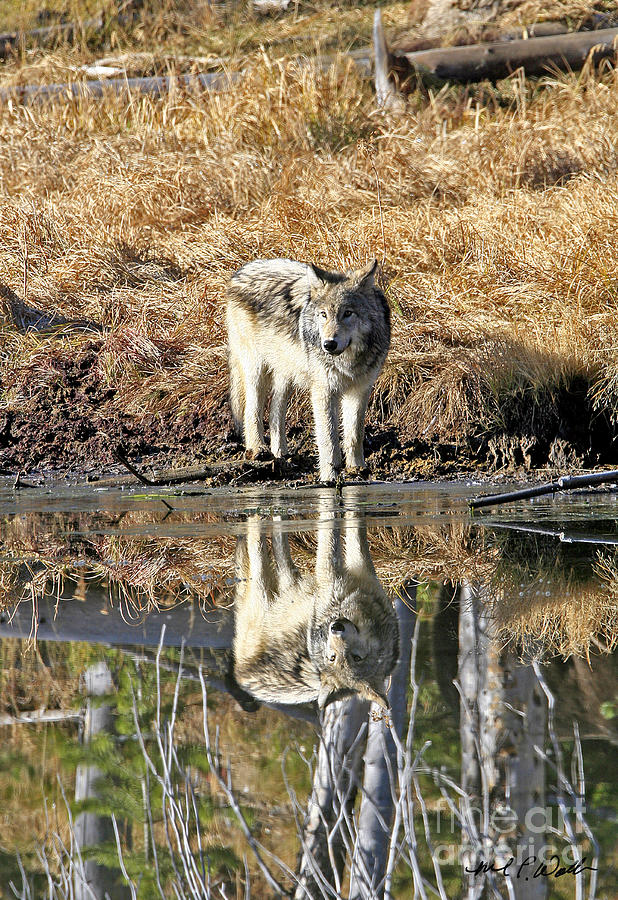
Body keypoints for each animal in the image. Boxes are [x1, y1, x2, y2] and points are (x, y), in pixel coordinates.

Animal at [226, 258, 390, 482]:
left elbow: (355, 435)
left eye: (347, 313)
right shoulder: (323, 391)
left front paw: (357, 469)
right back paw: (258, 449)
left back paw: (281, 454)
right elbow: (329, 438)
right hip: (257, 370)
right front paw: (329, 476)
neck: (348, 361)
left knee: (275, 412)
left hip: (285, 375)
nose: (328, 344)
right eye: (323, 315)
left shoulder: (360, 390)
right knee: (251, 411)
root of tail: (241, 271)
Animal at [233, 505, 399, 709]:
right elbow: (343, 523)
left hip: (277, 591)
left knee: (267, 547)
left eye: (356, 657)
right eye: (332, 657)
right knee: (269, 543)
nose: (336, 627)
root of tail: (240, 676)